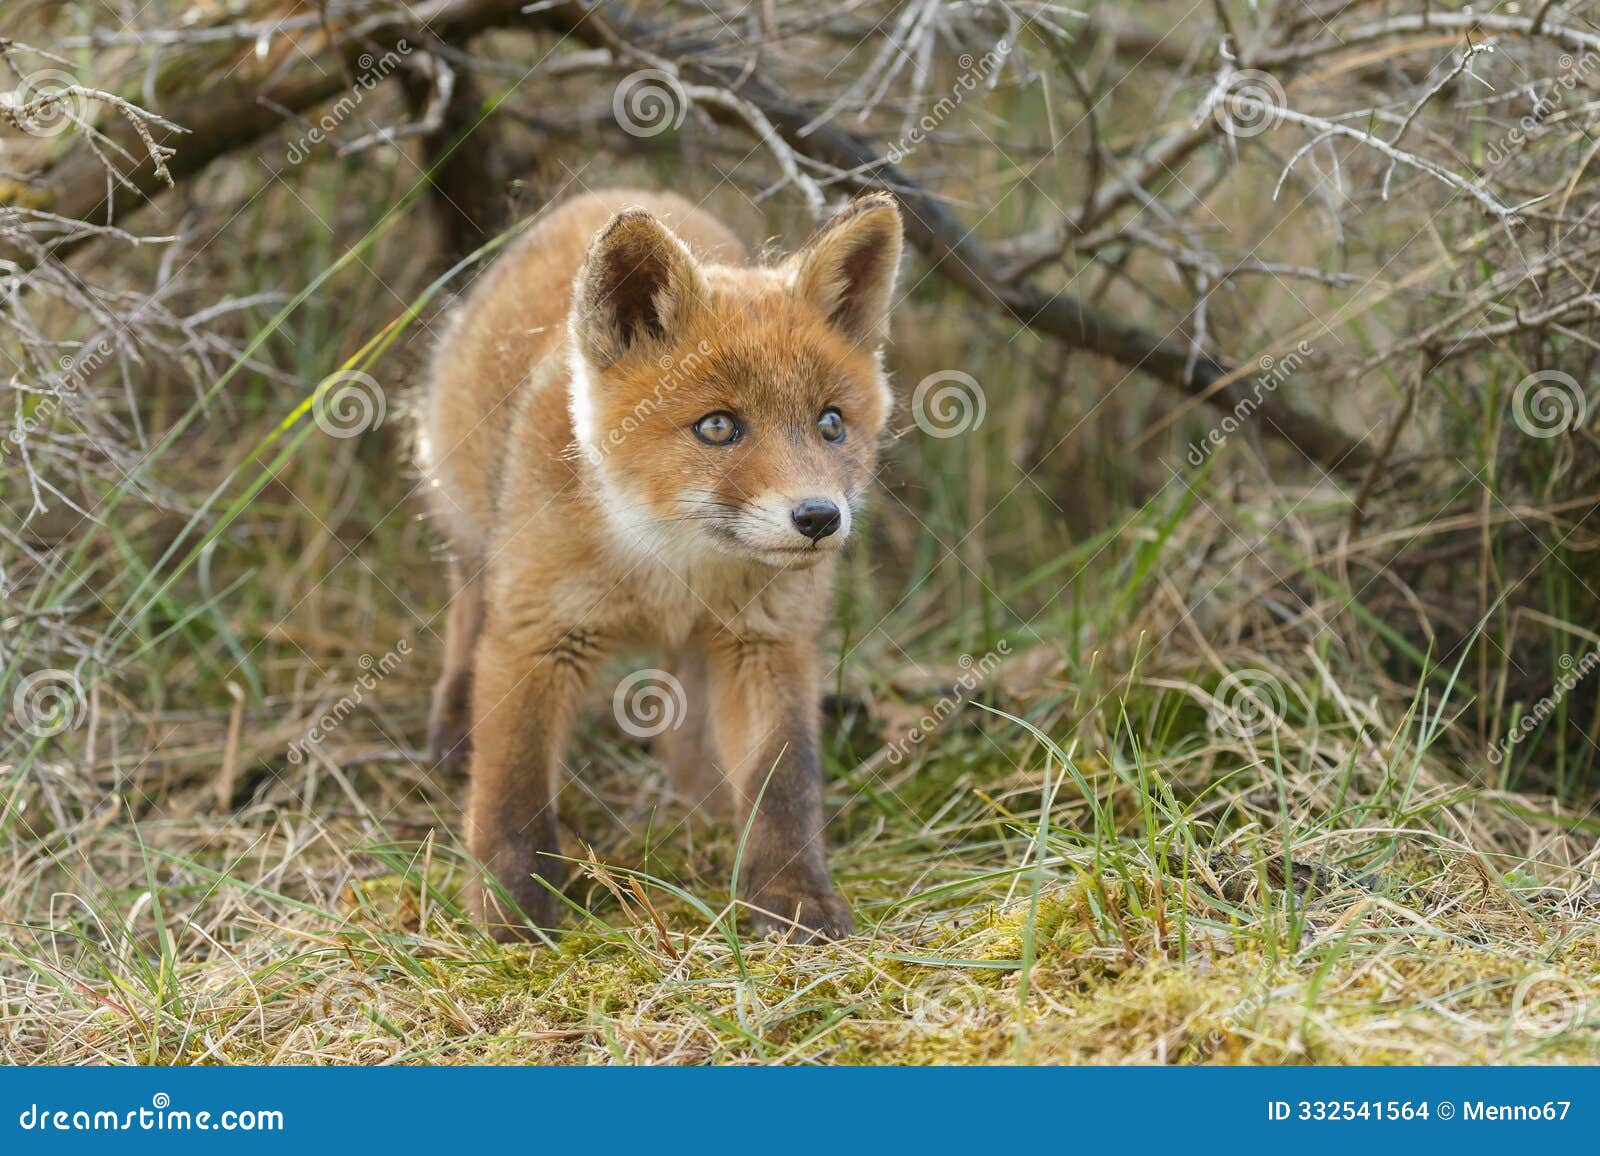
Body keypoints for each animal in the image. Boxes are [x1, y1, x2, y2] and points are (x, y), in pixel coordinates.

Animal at [416, 188, 904, 942]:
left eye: (831, 424)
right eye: (718, 427)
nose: (820, 517)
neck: (670, 569)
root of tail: (614, 192)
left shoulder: (764, 641)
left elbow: (784, 783)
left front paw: (791, 893)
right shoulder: (536, 635)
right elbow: (512, 790)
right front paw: (512, 916)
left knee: (687, 734)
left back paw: (705, 800)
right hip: (469, 528)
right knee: (467, 610)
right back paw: (451, 732)